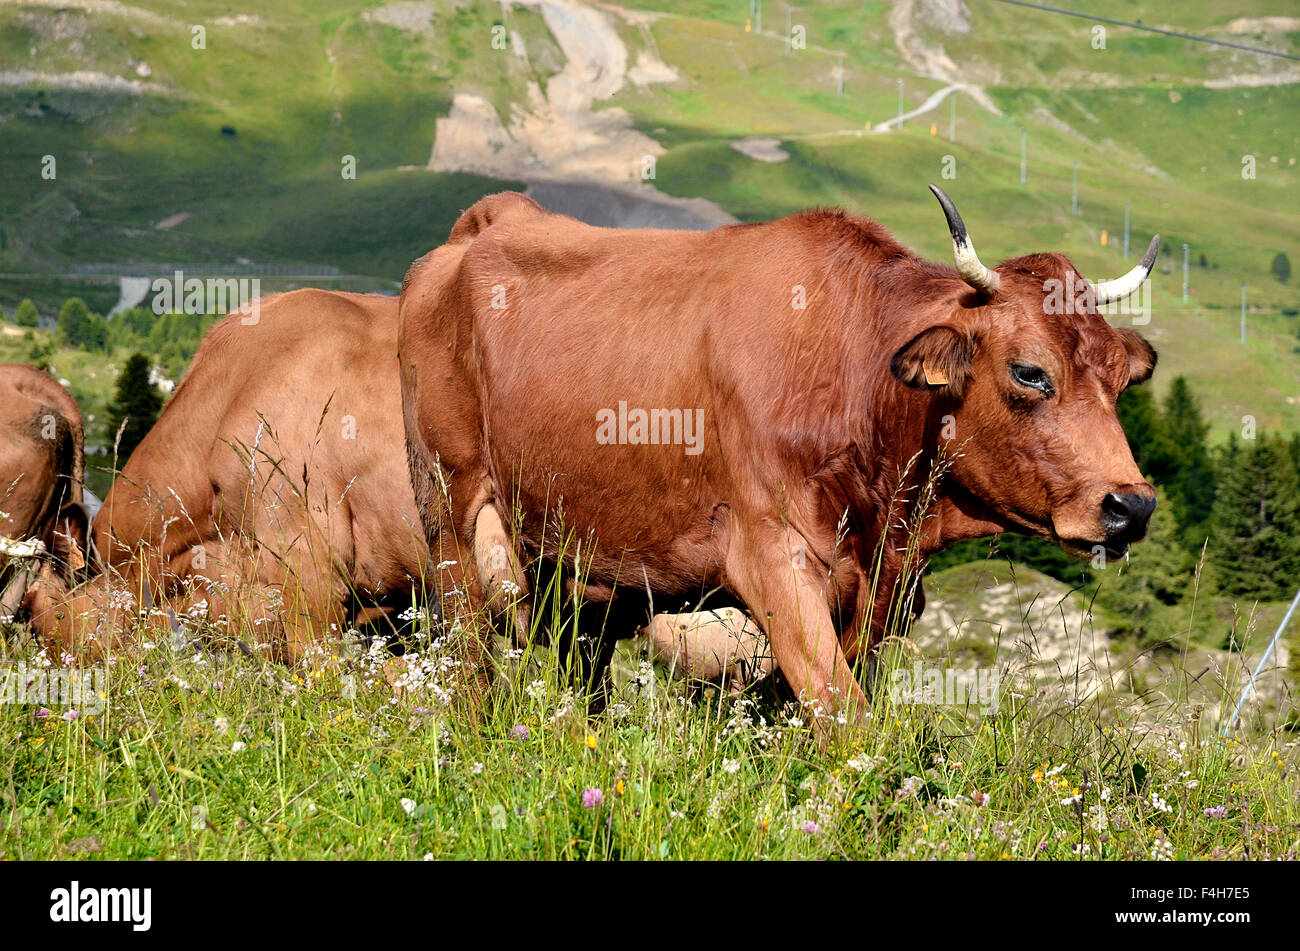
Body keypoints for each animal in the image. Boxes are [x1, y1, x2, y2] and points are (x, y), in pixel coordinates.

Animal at [397, 186, 1161, 727]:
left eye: (1123, 378)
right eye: (1030, 372)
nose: (1133, 505)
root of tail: (486, 224)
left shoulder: (883, 593)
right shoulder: (771, 554)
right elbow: (844, 717)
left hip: (580, 563)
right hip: (451, 515)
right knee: (470, 658)